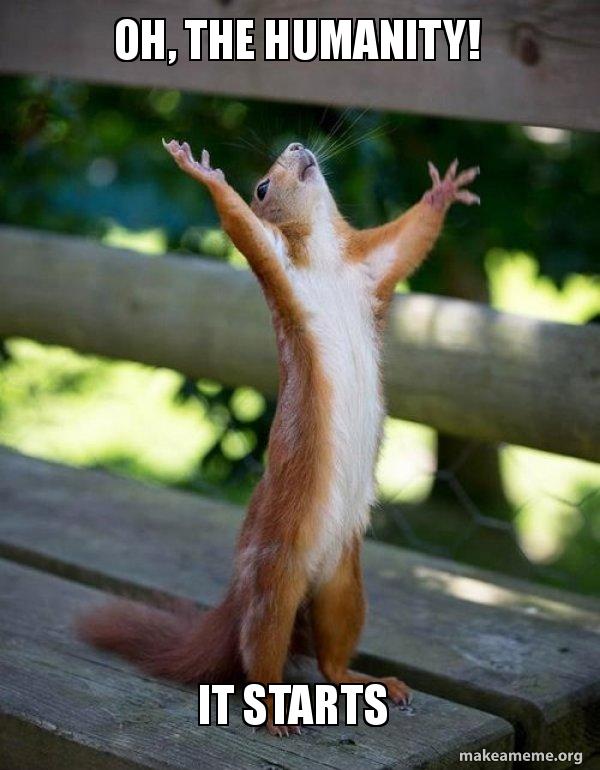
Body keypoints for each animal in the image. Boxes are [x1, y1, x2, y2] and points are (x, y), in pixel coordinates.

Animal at [78, 138, 479, 737]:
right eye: (262, 186)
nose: (296, 146)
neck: (327, 258)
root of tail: (240, 592)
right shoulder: (277, 265)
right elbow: (241, 227)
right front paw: (204, 174)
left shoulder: (371, 267)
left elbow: (408, 241)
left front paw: (443, 191)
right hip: (275, 578)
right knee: (260, 651)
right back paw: (273, 709)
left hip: (344, 584)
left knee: (331, 658)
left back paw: (368, 681)